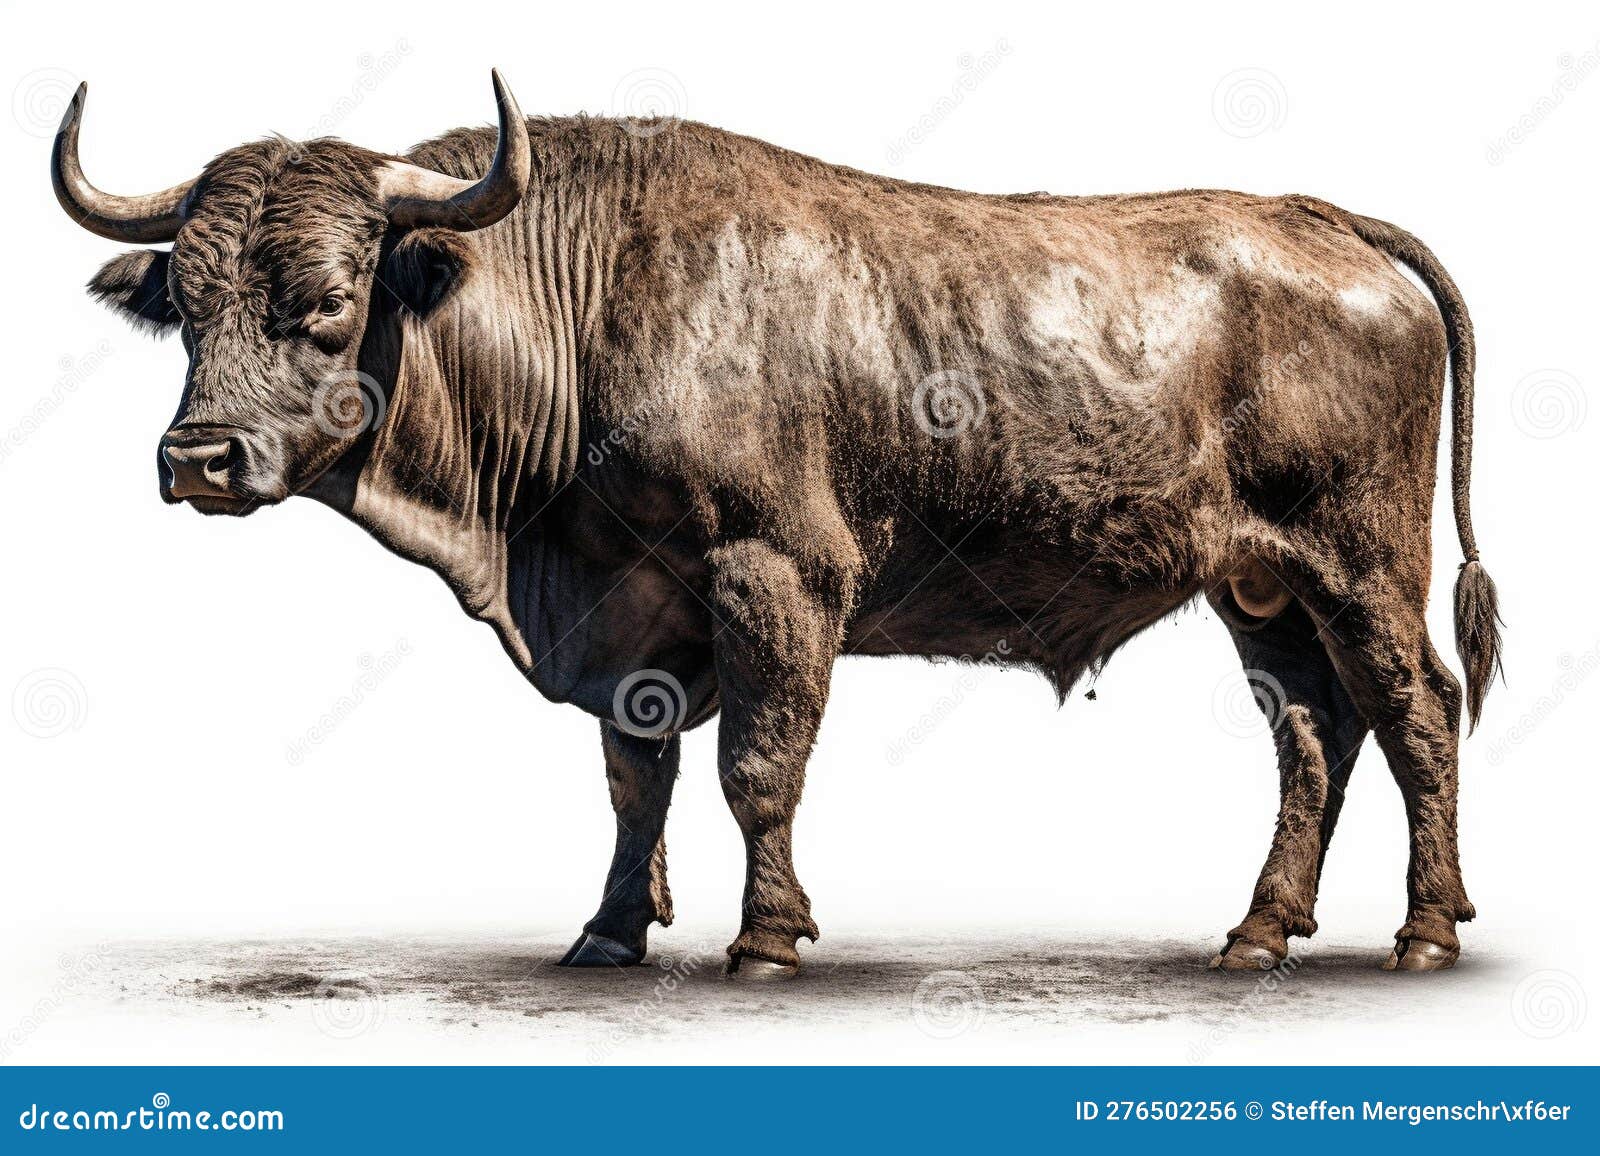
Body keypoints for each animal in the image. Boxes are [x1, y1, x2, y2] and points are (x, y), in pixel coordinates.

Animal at [52, 71, 1500, 978]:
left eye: (332, 300)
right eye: (186, 302)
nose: (200, 457)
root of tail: (1321, 222)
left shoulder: (778, 577)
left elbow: (759, 765)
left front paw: (763, 938)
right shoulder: (632, 614)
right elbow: (635, 776)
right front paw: (608, 933)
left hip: (1363, 565)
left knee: (1416, 710)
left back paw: (1426, 931)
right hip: (1261, 588)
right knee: (1313, 735)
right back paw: (1257, 931)